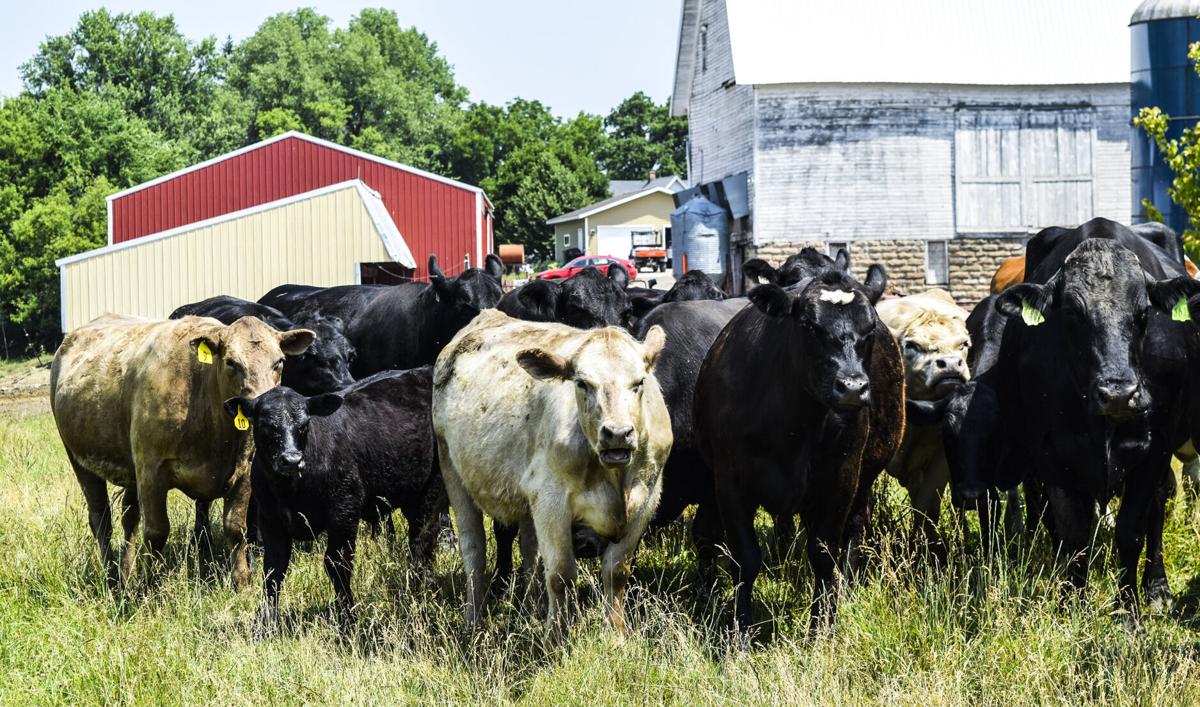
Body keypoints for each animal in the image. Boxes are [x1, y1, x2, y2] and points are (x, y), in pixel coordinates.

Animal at [50, 314, 314, 588]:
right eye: (231, 362)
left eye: (279, 362)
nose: (264, 407)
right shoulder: (151, 471)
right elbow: (156, 532)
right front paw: (151, 587)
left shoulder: (244, 471)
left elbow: (235, 528)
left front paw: (242, 583)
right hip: (79, 460)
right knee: (100, 518)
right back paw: (111, 576)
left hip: (131, 469)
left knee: (128, 517)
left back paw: (126, 573)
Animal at [224, 368, 444, 626]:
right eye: (266, 425)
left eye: (304, 424)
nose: (292, 460)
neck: (290, 490)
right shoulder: (270, 519)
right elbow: (273, 569)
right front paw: (266, 621)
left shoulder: (344, 511)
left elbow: (337, 562)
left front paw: (347, 614)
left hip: (431, 490)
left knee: (423, 539)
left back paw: (423, 588)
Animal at [432, 310, 672, 633]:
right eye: (582, 383)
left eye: (638, 383)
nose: (618, 433)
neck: (614, 477)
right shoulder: (552, 500)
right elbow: (560, 575)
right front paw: (556, 636)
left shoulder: (646, 499)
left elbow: (616, 572)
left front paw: (616, 634)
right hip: (453, 471)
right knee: (474, 550)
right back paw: (474, 621)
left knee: (530, 550)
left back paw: (532, 610)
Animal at [693, 267, 901, 633]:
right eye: (808, 325)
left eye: (870, 328)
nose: (852, 387)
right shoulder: (729, 482)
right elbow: (745, 559)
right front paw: (741, 630)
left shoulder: (841, 478)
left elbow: (823, 553)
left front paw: (822, 626)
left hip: (864, 477)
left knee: (855, 529)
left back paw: (846, 588)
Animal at [959, 218, 1200, 610]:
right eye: (1073, 313)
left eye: (1143, 313)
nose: (1119, 394)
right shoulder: (1052, 455)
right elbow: (1073, 534)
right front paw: (1072, 603)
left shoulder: (1154, 450)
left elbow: (1131, 531)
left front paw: (1128, 610)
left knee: (1157, 508)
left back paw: (1156, 587)